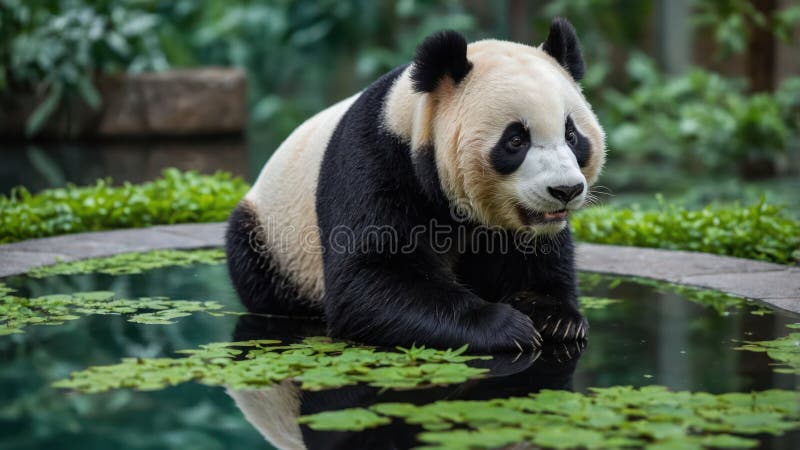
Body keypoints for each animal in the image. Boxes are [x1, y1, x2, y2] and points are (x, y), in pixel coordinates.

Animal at [225, 17, 606, 353]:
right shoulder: (376, 160)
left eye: (572, 136)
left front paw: (555, 318)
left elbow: (538, 258)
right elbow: (371, 278)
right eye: (515, 140)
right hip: (273, 238)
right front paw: (507, 325)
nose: (566, 190)